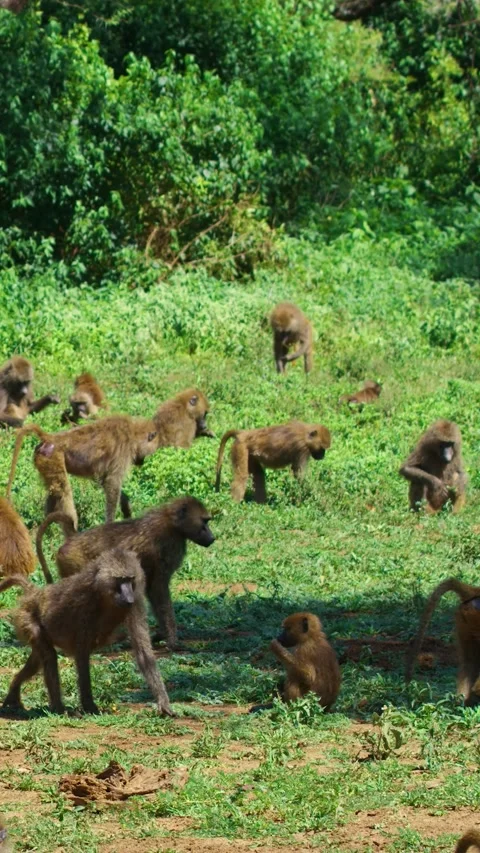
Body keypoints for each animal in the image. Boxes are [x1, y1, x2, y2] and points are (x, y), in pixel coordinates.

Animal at [0, 548, 172, 716]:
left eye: (131, 579)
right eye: (120, 579)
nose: (128, 598)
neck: (106, 595)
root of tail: (34, 594)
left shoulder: (136, 603)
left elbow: (143, 653)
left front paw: (163, 703)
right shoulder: (84, 604)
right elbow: (82, 654)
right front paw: (89, 706)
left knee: (37, 660)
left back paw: (13, 693)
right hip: (27, 618)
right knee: (49, 656)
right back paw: (58, 709)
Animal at [6, 417, 159, 527]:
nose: (141, 462)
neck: (132, 432)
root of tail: (52, 438)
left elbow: (105, 481)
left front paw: (126, 509)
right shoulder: (123, 452)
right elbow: (112, 483)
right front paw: (110, 525)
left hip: (45, 460)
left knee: (54, 492)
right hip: (53, 459)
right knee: (64, 493)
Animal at [35, 496, 215, 649]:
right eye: (204, 521)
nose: (212, 538)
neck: (172, 523)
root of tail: (72, 539)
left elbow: (153, 591)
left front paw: (160, 635)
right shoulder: (168, 547)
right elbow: (159, 590)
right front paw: (172, 641)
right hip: (74, 564)